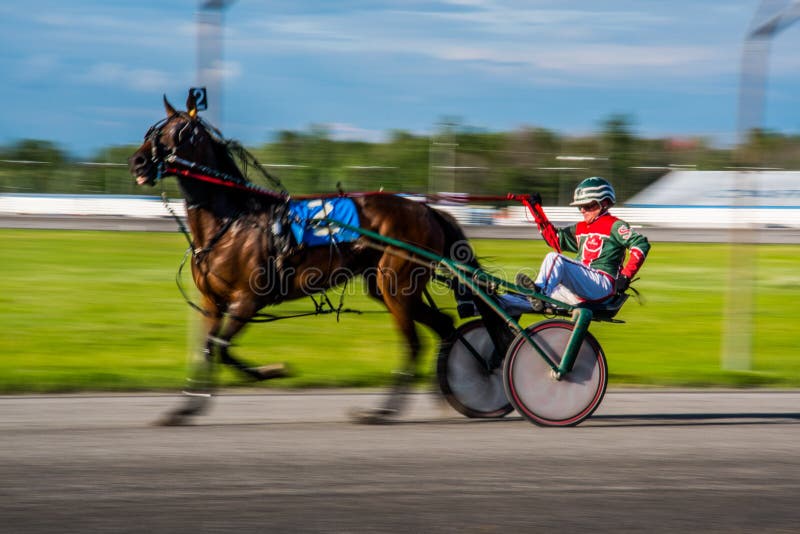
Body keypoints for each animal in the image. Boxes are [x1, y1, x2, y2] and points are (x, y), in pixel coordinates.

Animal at [129, 95, 506, 425]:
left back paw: (381, 412)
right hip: (386, 285)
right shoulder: (212, 302)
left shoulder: (248, 300)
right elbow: (207, 348)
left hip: (396, 286)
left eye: (179, 132)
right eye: (152, 130)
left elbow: (220, 348)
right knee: (444, 325)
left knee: (414, 344)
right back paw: (453, 387)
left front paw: (271, 370)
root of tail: (427, 209)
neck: (232, 221)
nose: (138, 162)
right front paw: (183, 411)